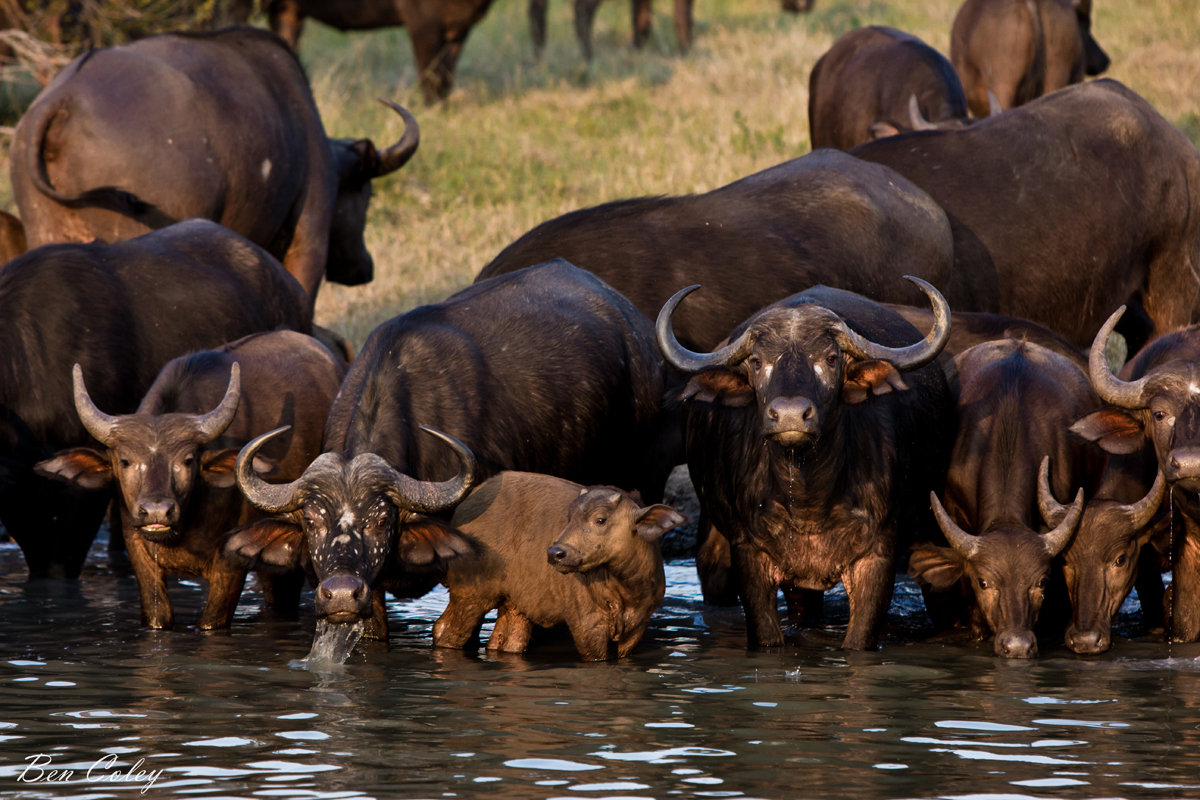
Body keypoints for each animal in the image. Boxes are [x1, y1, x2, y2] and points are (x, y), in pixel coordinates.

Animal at [34, 332, 346, 630]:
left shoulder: (230, 563)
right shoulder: (139, 553)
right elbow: (157, 618)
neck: (185, 527)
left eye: (186, 460)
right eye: (124, 461)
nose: (157, 511)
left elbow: (211, 622)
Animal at [659, 280, 953, 650]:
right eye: (757, 361)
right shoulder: (750, 556)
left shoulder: (877, 558)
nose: (789, 415)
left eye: (830, 359)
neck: (808, 497)